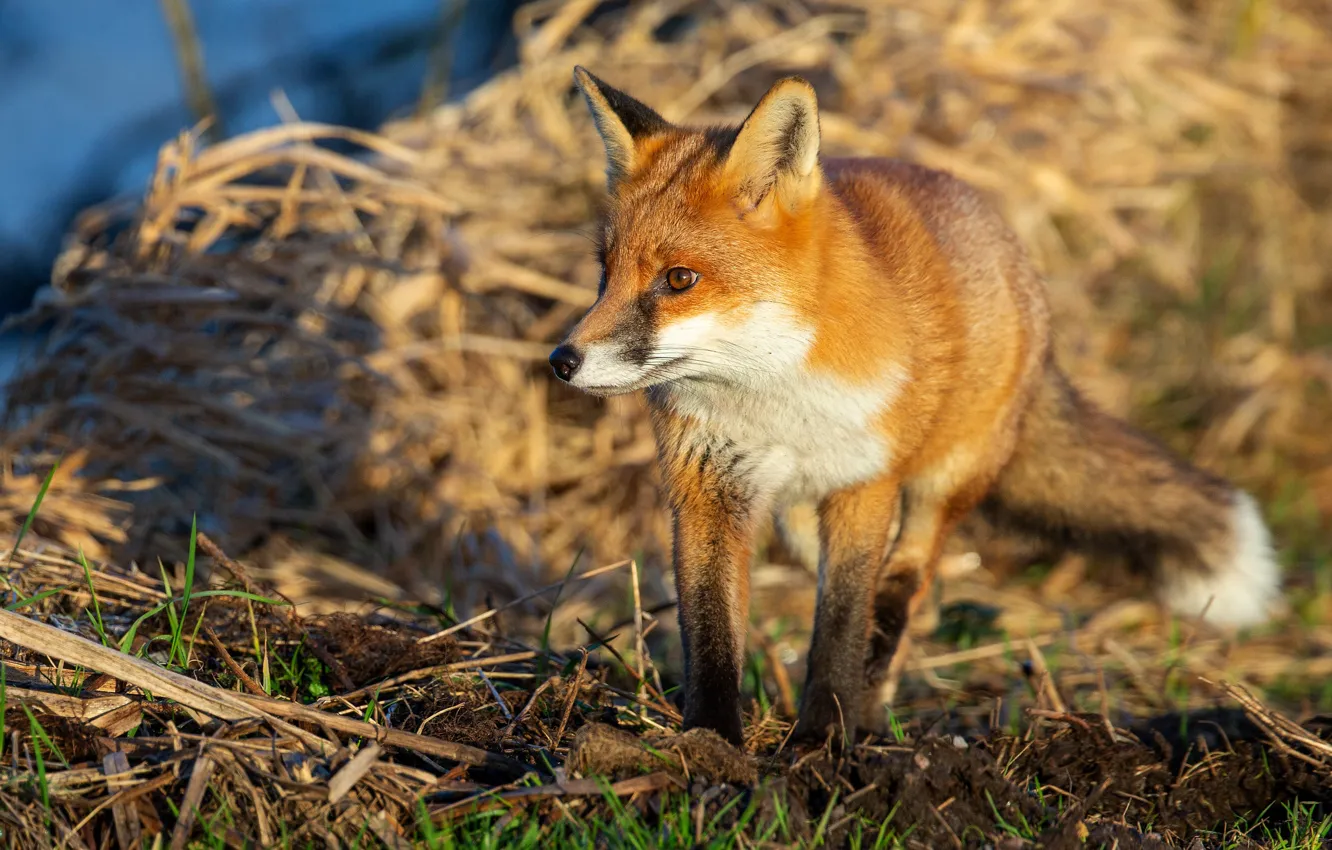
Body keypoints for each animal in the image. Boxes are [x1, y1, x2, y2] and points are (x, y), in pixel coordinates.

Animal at [548, 67, 1282, 747]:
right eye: (604, 273)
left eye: (680, 280)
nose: (562, 360)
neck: (776, 399)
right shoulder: (707, 488)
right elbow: (709, 630)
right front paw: (710, 745)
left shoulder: (864, 483)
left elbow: (841, 626)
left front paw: (820, 741)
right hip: (798, 516)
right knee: (906, 600)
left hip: (940, 481)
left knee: (909, 580)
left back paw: (871, 698)